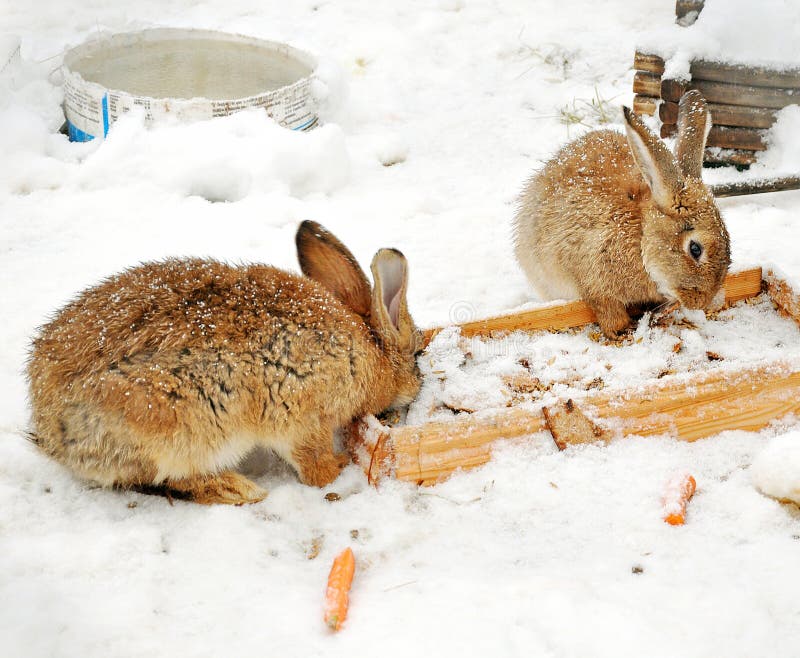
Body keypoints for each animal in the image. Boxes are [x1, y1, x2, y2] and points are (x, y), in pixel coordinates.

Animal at [26, 221, 421, 505]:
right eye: (416, 353)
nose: (418, 385)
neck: (367, 349)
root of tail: (51, 429)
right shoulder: (305, 417)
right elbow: (313, 466)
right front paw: (340, 468)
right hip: (182, 424)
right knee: (173, 477)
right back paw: (237, 489)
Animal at [513, 90, 731, 338]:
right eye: (695, 249)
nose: (701, 302)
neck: (641, 235)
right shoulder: (591, 276)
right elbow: (606, 308)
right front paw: (622, 330)